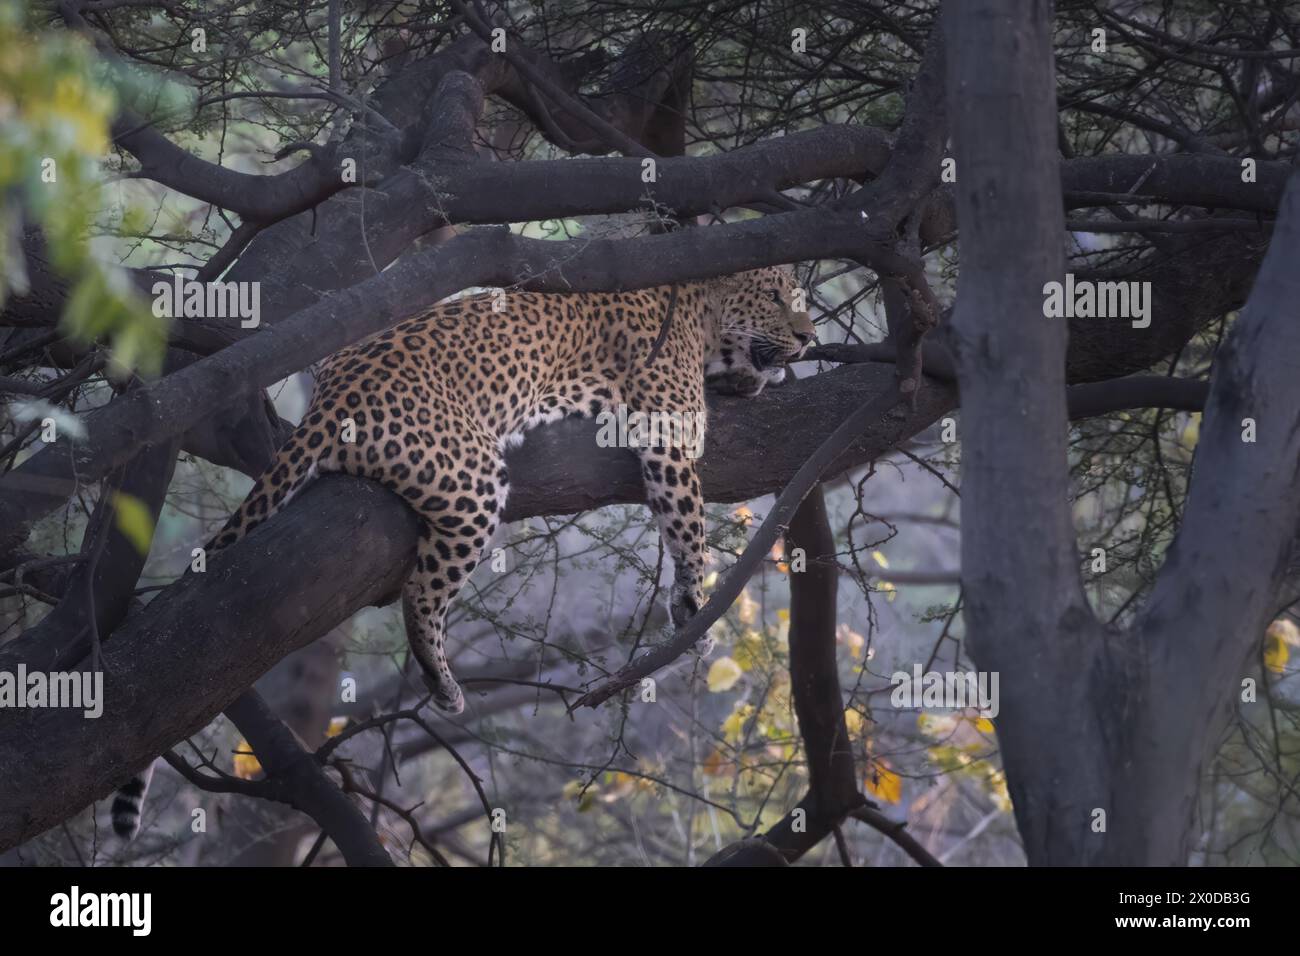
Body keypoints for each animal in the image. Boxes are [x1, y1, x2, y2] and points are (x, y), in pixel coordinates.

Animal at [111, 264, 814, 839]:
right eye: (777, 297)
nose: (809, 338)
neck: (700, 311)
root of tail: (332, 394)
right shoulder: (669, 430)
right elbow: (687, 520)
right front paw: (696, 600)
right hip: (474, 481)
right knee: (422, 592)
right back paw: (442, 681)